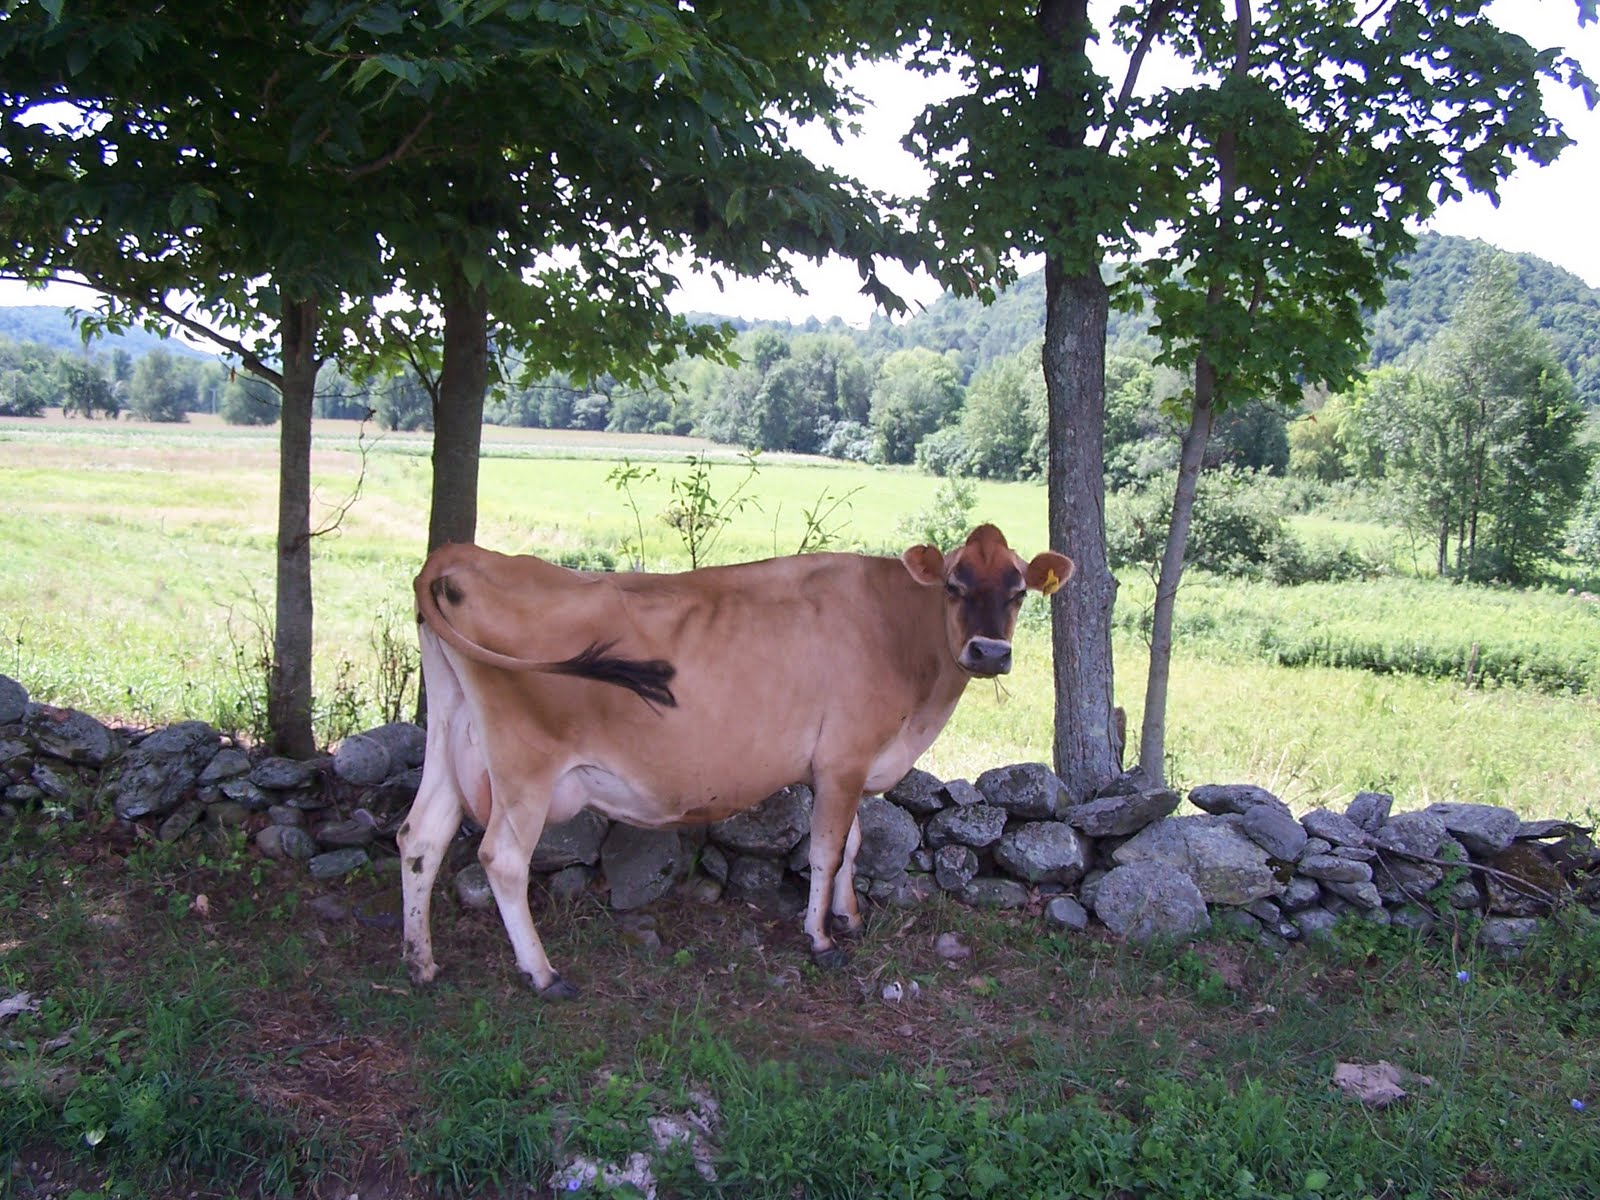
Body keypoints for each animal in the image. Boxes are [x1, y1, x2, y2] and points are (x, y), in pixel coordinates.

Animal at [399, 523, 1073, 999]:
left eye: (1018, 591)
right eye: (955, 584)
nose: (989, 652)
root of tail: (462, 556)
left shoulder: (853, 763)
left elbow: (853, 843)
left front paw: (850, 917)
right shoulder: (844, 758)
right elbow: (827, 851)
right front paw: (821, 938)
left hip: (452, 733)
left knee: (420, 837)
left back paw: (421, 963)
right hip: (525, 766)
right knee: (501, 858)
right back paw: (542, 974)